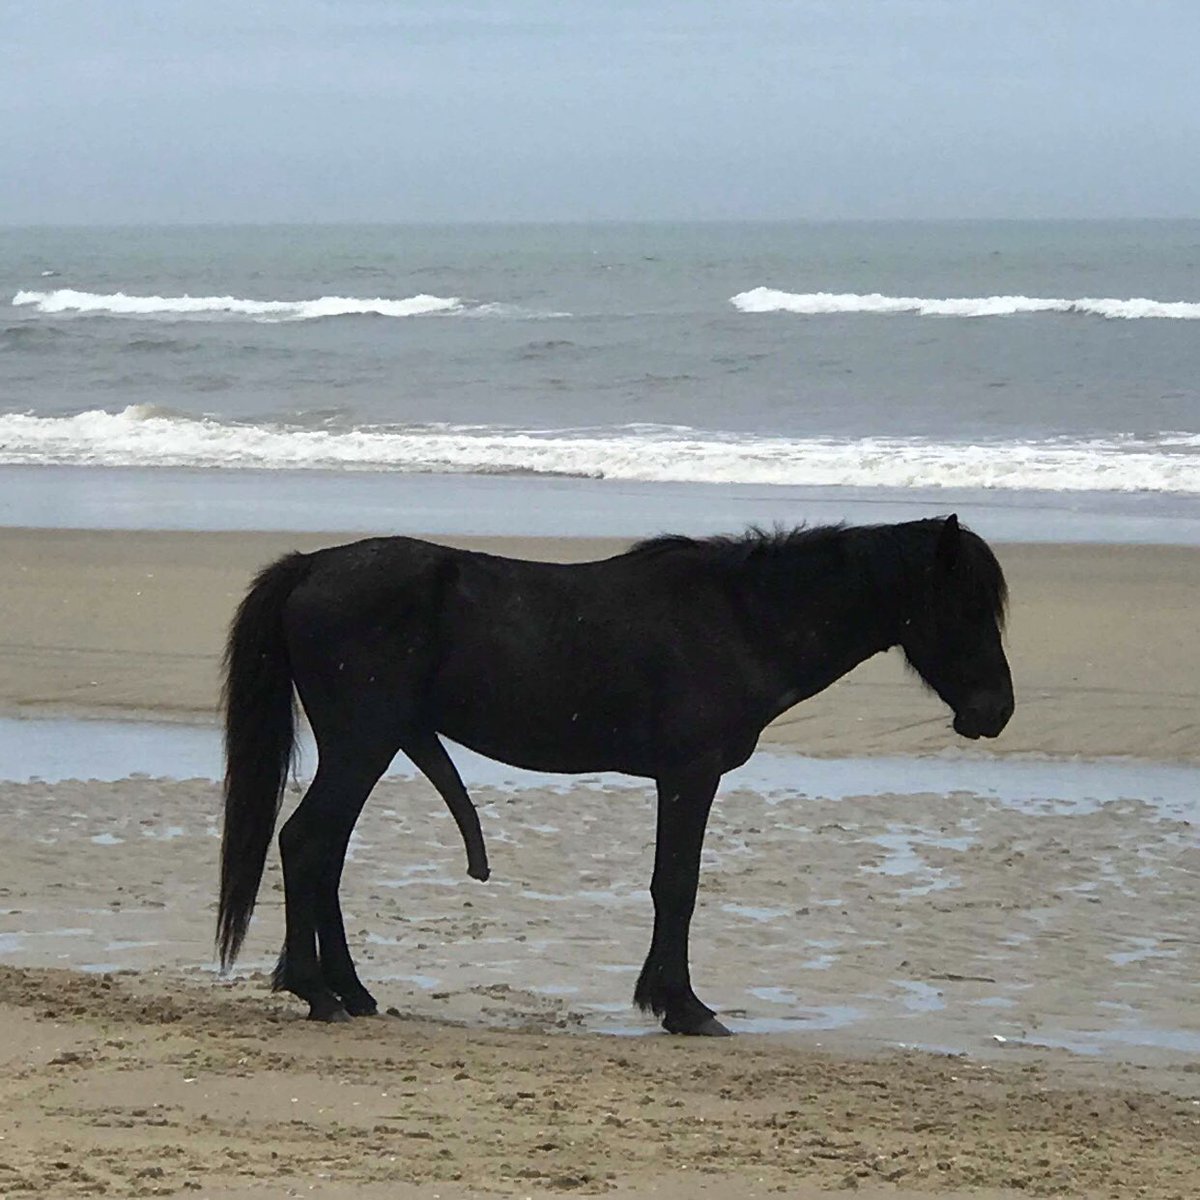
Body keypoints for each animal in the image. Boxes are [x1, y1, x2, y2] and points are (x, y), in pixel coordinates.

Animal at [217, 515, 1012, 1035]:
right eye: (965, 606)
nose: (996, 710)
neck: (741, 619)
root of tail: (313, 566)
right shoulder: (690, 775)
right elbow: (678, 886)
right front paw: (682, 1006)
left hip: (365, 749)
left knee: (323, 855)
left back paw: (350, 991)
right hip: (362, 745)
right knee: (307, 845)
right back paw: (318, 992)